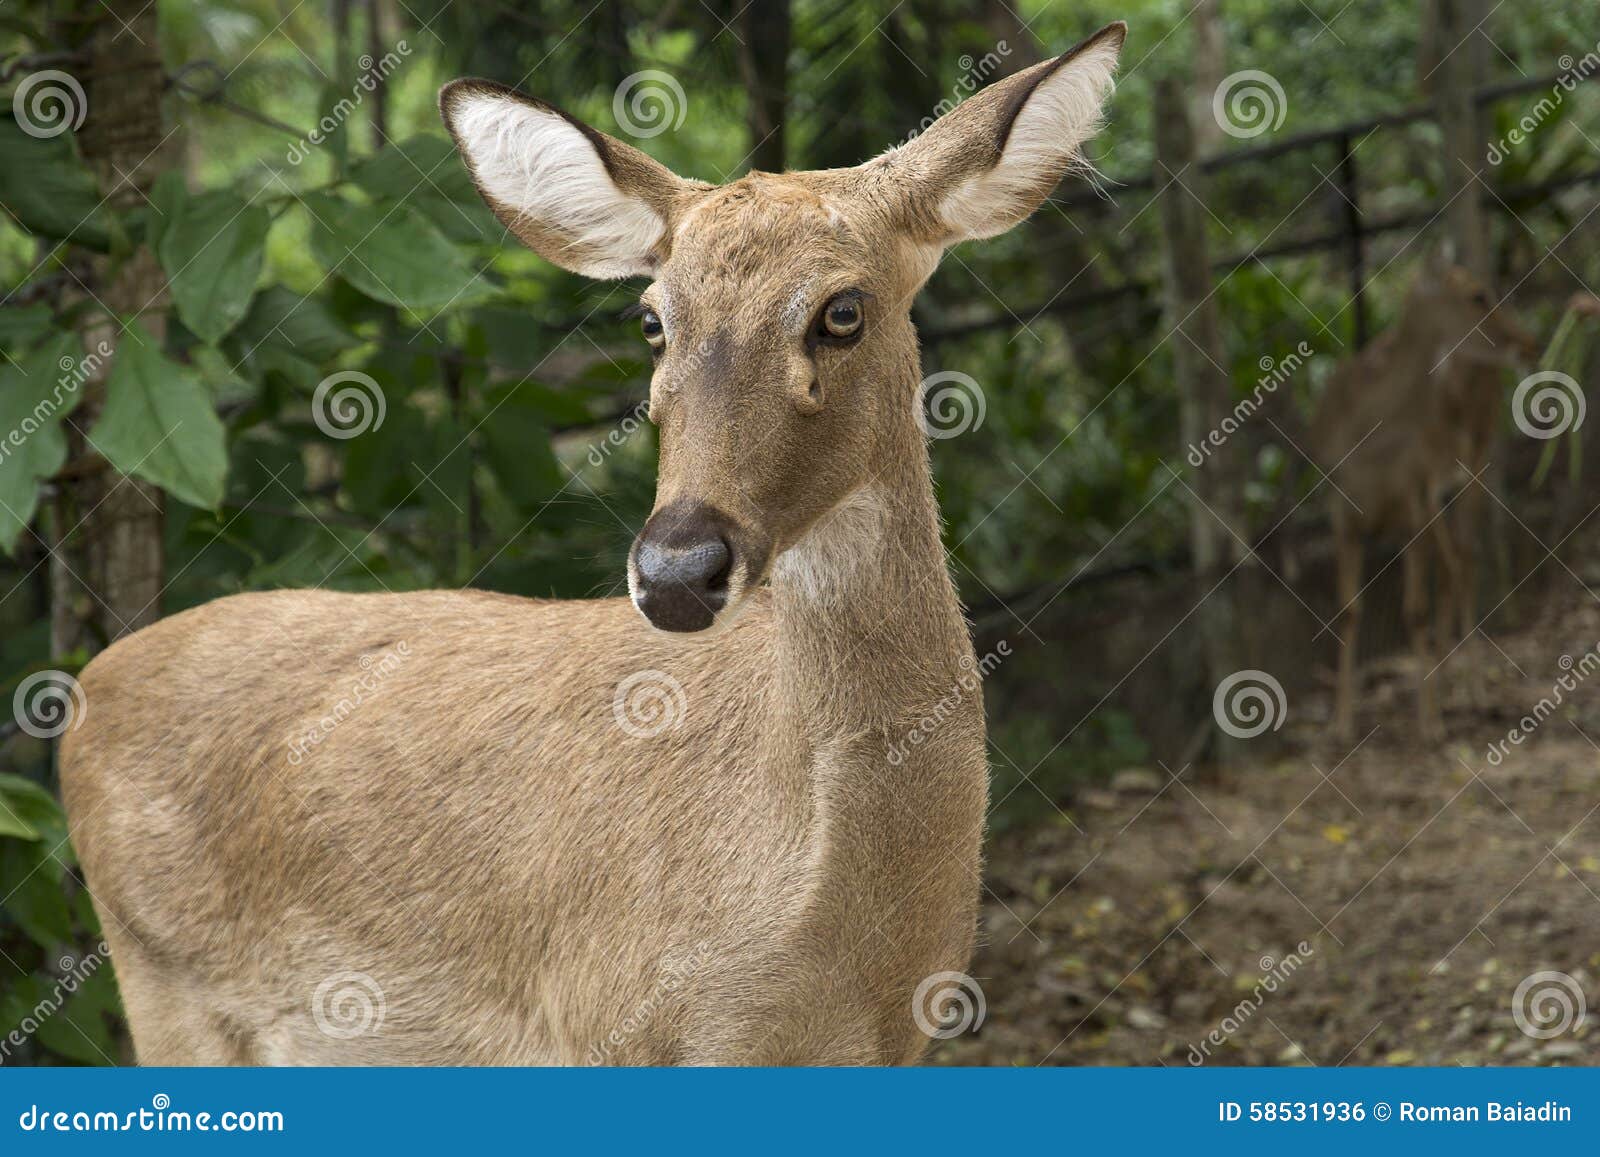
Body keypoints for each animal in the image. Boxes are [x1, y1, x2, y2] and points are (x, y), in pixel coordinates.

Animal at [58, 23, 1127, 1065]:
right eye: (651, 319)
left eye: (844, 309)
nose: (677, 571)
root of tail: (86, 690)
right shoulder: (611, 1026)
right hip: (165, 986)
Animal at [1312, 253, 1536, 744]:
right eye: (1477, 294)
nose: (1529, 343)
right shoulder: (1340, 505)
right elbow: (1348, 610)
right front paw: (1340, 726)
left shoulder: (1416, 491)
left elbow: (1415, 610)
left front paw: (1429, 724)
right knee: (1452, 569)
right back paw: (1450, 684)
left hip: (1475, 467)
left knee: (1466, 561)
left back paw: (1470, 691)